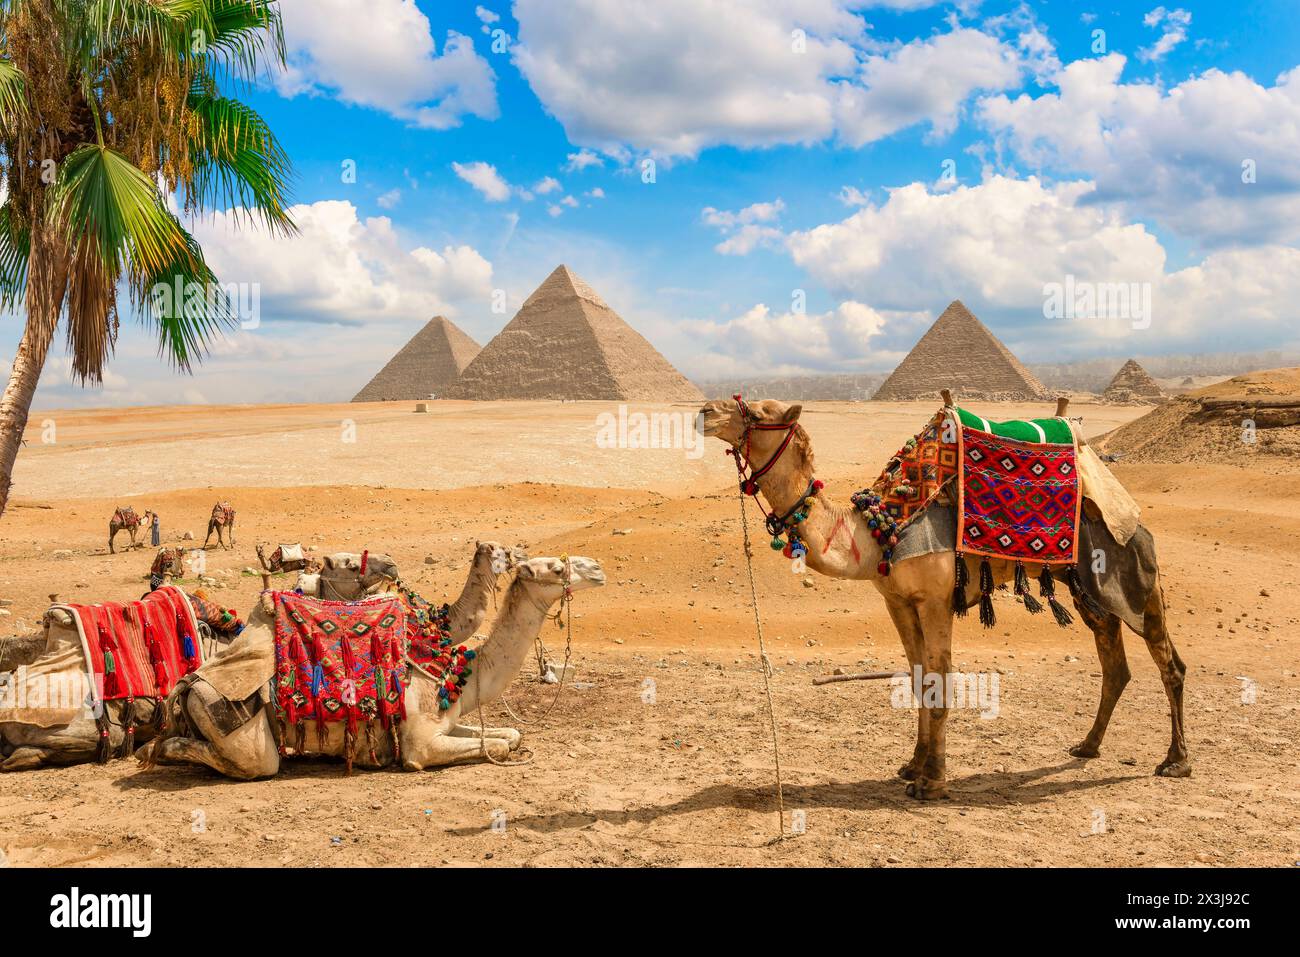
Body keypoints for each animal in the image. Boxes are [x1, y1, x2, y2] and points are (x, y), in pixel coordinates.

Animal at [143, 555, 604, 779]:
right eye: (556, 567)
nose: (598, 568)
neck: (456, 676)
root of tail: (188, 684)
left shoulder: (445, 720)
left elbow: (509, 736)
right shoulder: (421, 743)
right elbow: (493, 746)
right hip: (234, 722)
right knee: (254, 762)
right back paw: (160, 750)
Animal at [700, 397, 1189, 800]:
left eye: (758, 412)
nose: (705, 412)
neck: (878, 531)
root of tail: (1131, 510)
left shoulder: (936, 599)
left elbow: (938, 678)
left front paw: (932, 781)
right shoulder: (898, 601)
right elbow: (917, 678)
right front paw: (912, 766)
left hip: (1132, 573)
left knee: (1168, 661)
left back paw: (1175, 761)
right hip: (1088, 588)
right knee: (1114, 662)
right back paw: (1087, 746)